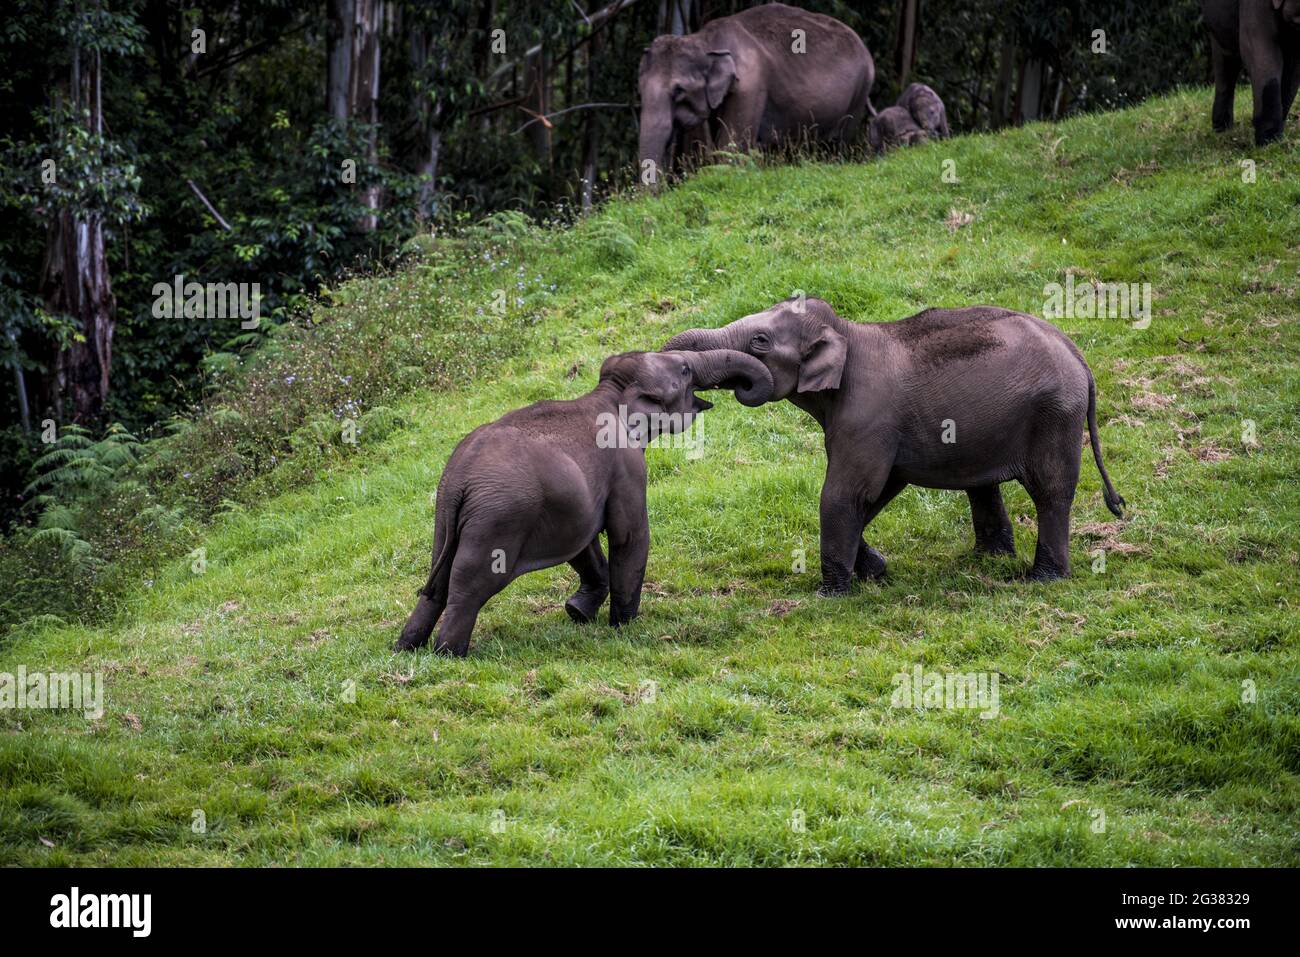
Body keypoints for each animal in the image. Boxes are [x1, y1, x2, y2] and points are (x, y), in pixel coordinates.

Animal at [395, 348, 773, 656]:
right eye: (683, 370)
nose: (739, 389)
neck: (610, 394)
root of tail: (461, 481)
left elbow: (583, 544)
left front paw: (577, 612)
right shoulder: (627, 467)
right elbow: (629, 536)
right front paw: (624, 626)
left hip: (445, 518)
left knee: (438, 578)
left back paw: (407, 647)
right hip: (499, 520)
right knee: (469, 583)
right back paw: (449, 652)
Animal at [637, 3, 876, 184]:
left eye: (679, 90)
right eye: (639, 88)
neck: (705, 39)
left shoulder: (750, 86)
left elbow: (731, 144)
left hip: (860, 90)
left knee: (839, 142)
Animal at [665, 298, 1125, 592]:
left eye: (759, 341)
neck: (848, 332)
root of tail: (1077, 354)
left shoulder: (868, 416)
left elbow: (849, 491)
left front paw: (833, 593)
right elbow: (879, 489)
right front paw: (875, 570)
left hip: (1055, 415)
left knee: (1051, 490)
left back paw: (1042, 578)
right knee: (983, 485)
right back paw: (990, 559)